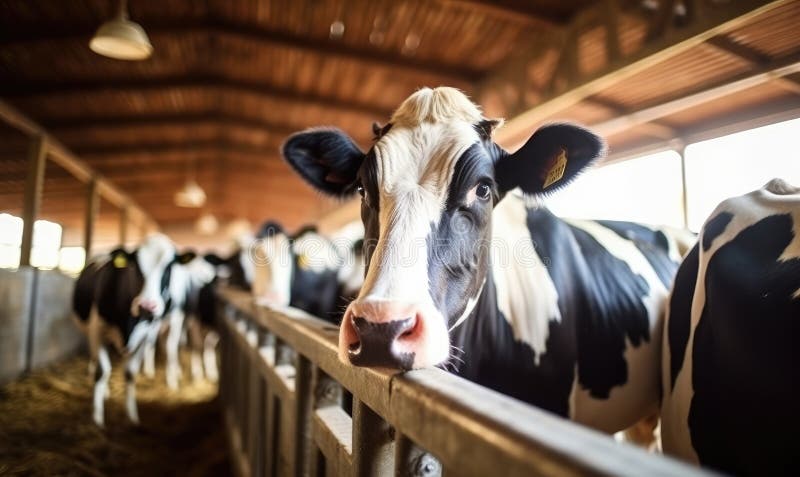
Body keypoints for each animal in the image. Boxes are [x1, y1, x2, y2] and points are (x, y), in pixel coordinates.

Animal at [72, 234, 195, 426]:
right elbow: (102, 371)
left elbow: (130, 373)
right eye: (135, 265)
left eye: (169, 267)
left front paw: (132, 416)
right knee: (95, 360)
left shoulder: (145, 336)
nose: (147, 306)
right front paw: (97, 419)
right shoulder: (97, 330)